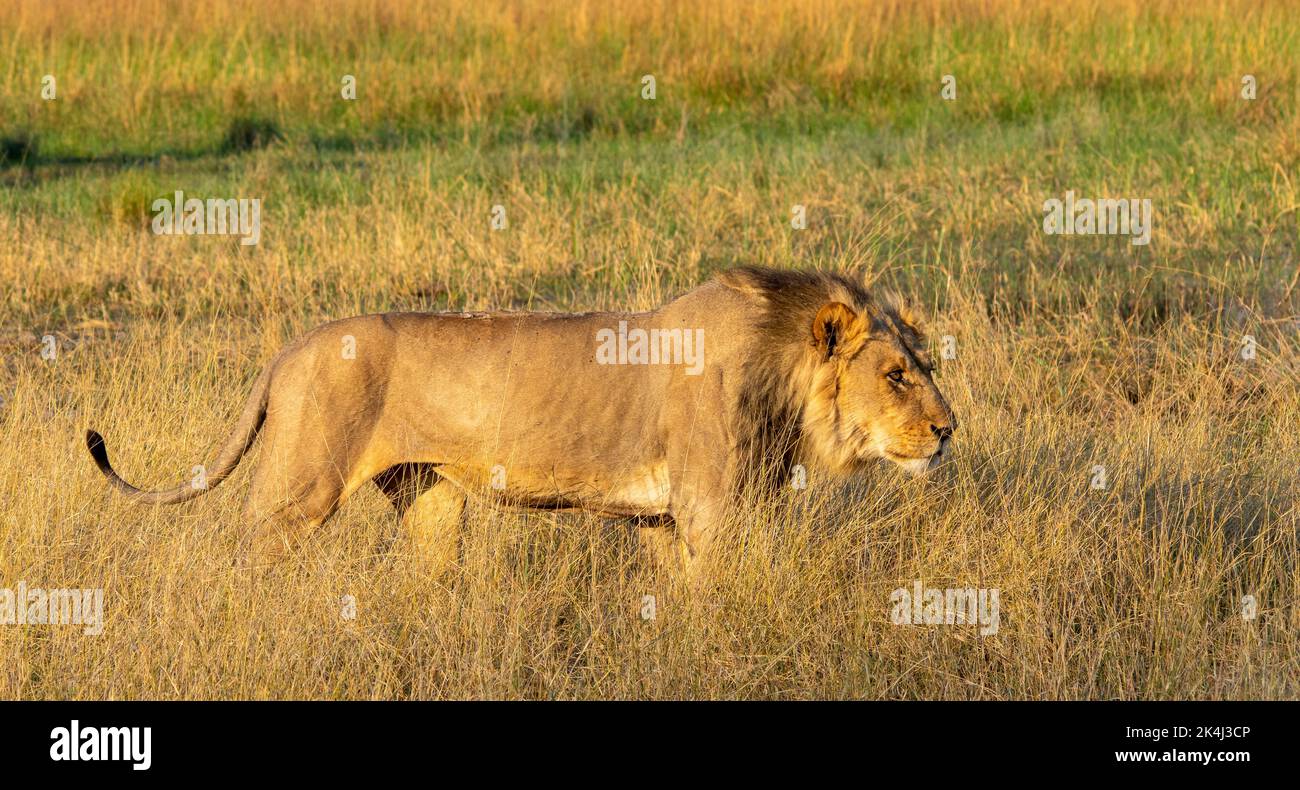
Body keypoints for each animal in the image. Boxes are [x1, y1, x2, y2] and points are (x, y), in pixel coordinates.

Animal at [85, 266, 957, 571]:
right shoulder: (713, 512)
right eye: (895, 374)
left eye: (925, 364)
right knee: (242, 559)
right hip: (299, 489)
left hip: (430, 499)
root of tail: (289, 349)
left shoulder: (663, 519)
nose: (948, 431)